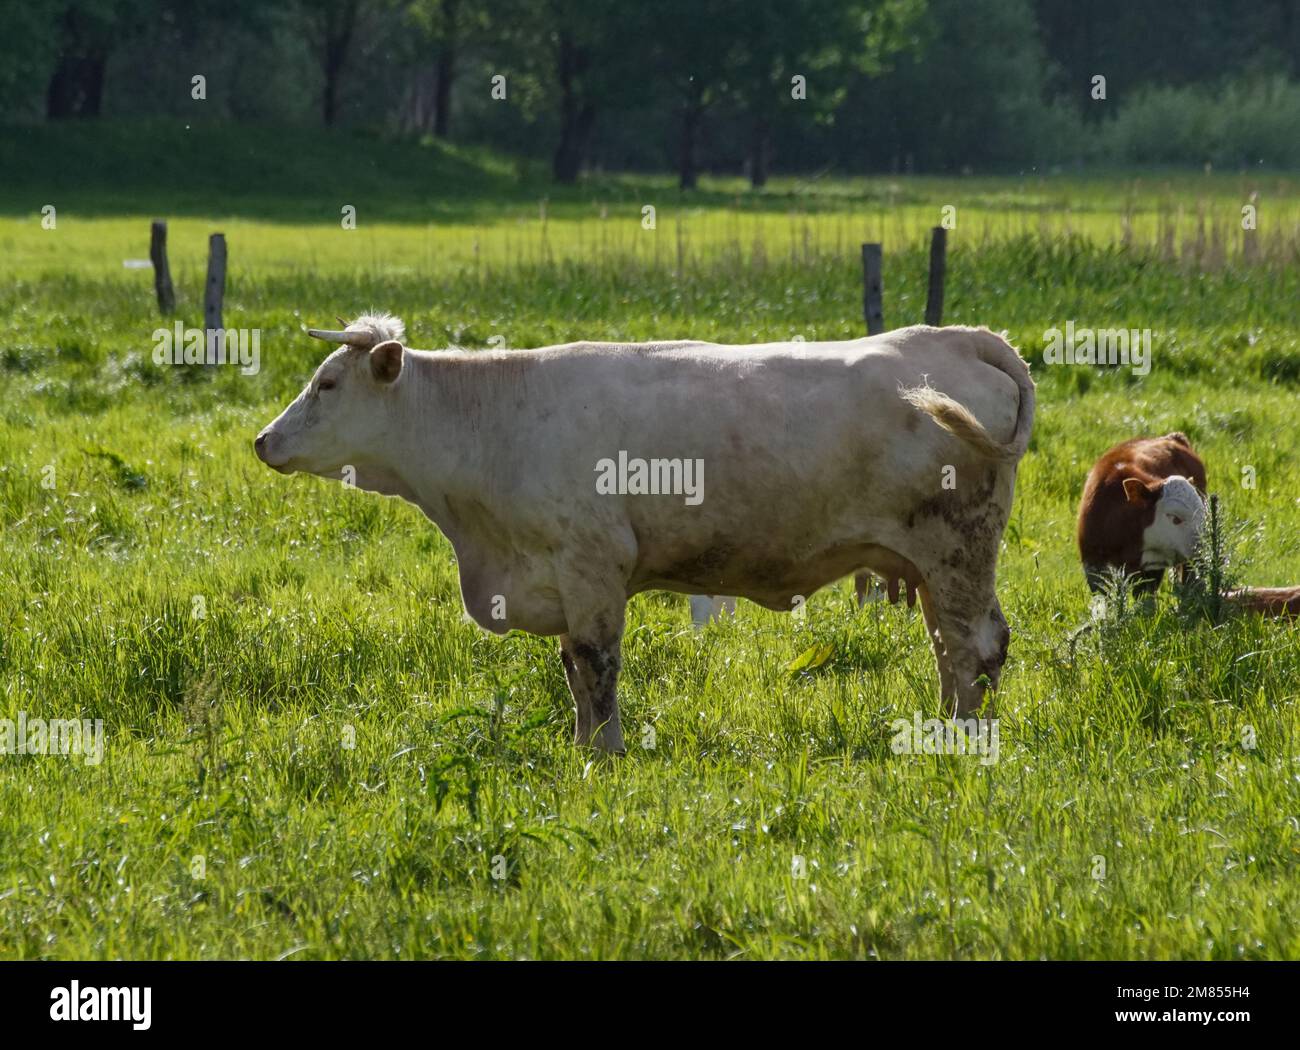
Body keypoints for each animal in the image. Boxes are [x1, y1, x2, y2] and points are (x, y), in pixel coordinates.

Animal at [255, 317, 1035, 752]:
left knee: (976, 646)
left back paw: (965, 740)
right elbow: (572, 669)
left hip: (959, 548)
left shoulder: (592, 565)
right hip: (932, 565)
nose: (263, 440)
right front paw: (580, 746)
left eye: (327, 384)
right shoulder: (561, 579)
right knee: (950, 649)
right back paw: (944, 728)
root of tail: (961, 338)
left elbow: (597, 667)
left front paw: (606, 753)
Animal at [1076, 433, 1208, 595]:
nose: (1203, 547)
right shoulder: (1093, 565)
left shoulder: (1152, 568)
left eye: (1202, 516)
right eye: (1175, 518)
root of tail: (1173, 437)